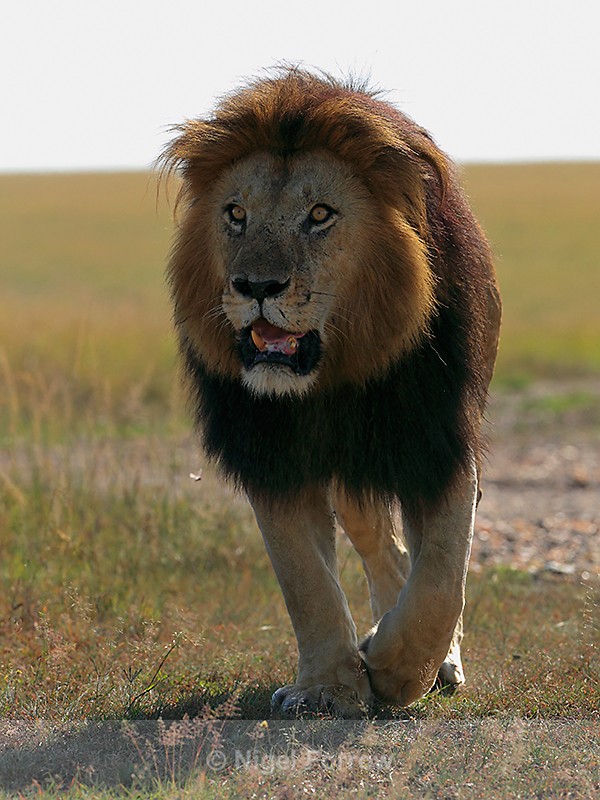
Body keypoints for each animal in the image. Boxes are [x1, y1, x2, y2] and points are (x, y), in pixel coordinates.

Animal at [161, 68, 501, 717]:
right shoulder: (271, 453)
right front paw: (327, 688)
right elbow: (306, 580)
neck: (331, 381)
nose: (256, 286)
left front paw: (399, 670)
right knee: (378, 543)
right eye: (235, 213)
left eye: (320, 214)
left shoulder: (437, 440)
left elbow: (443, 575)